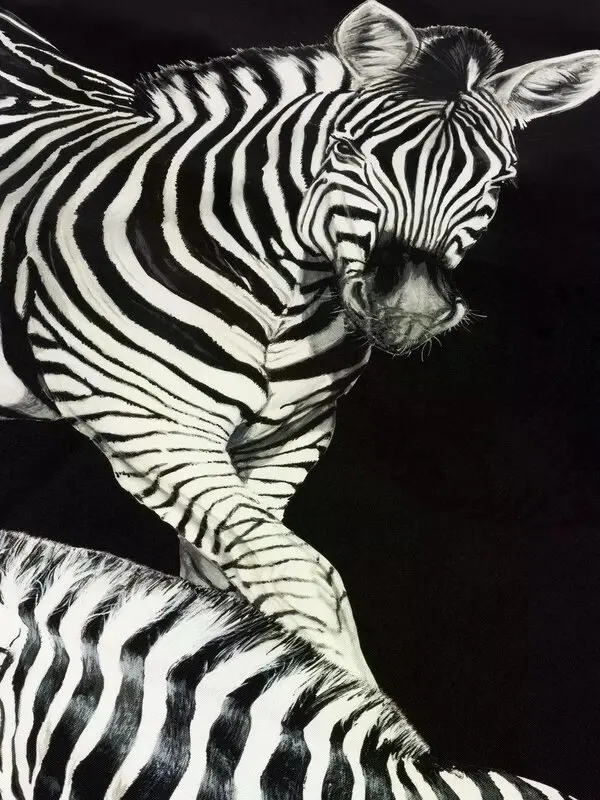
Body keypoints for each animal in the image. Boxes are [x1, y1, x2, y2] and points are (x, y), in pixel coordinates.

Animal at [0, 2, 599, 682]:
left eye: (498, 182)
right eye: (347, 149)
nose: (411, 308)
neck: (287, 300)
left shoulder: (283, 444)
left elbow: (227, 590)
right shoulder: (156, 431)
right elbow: (301, 580)